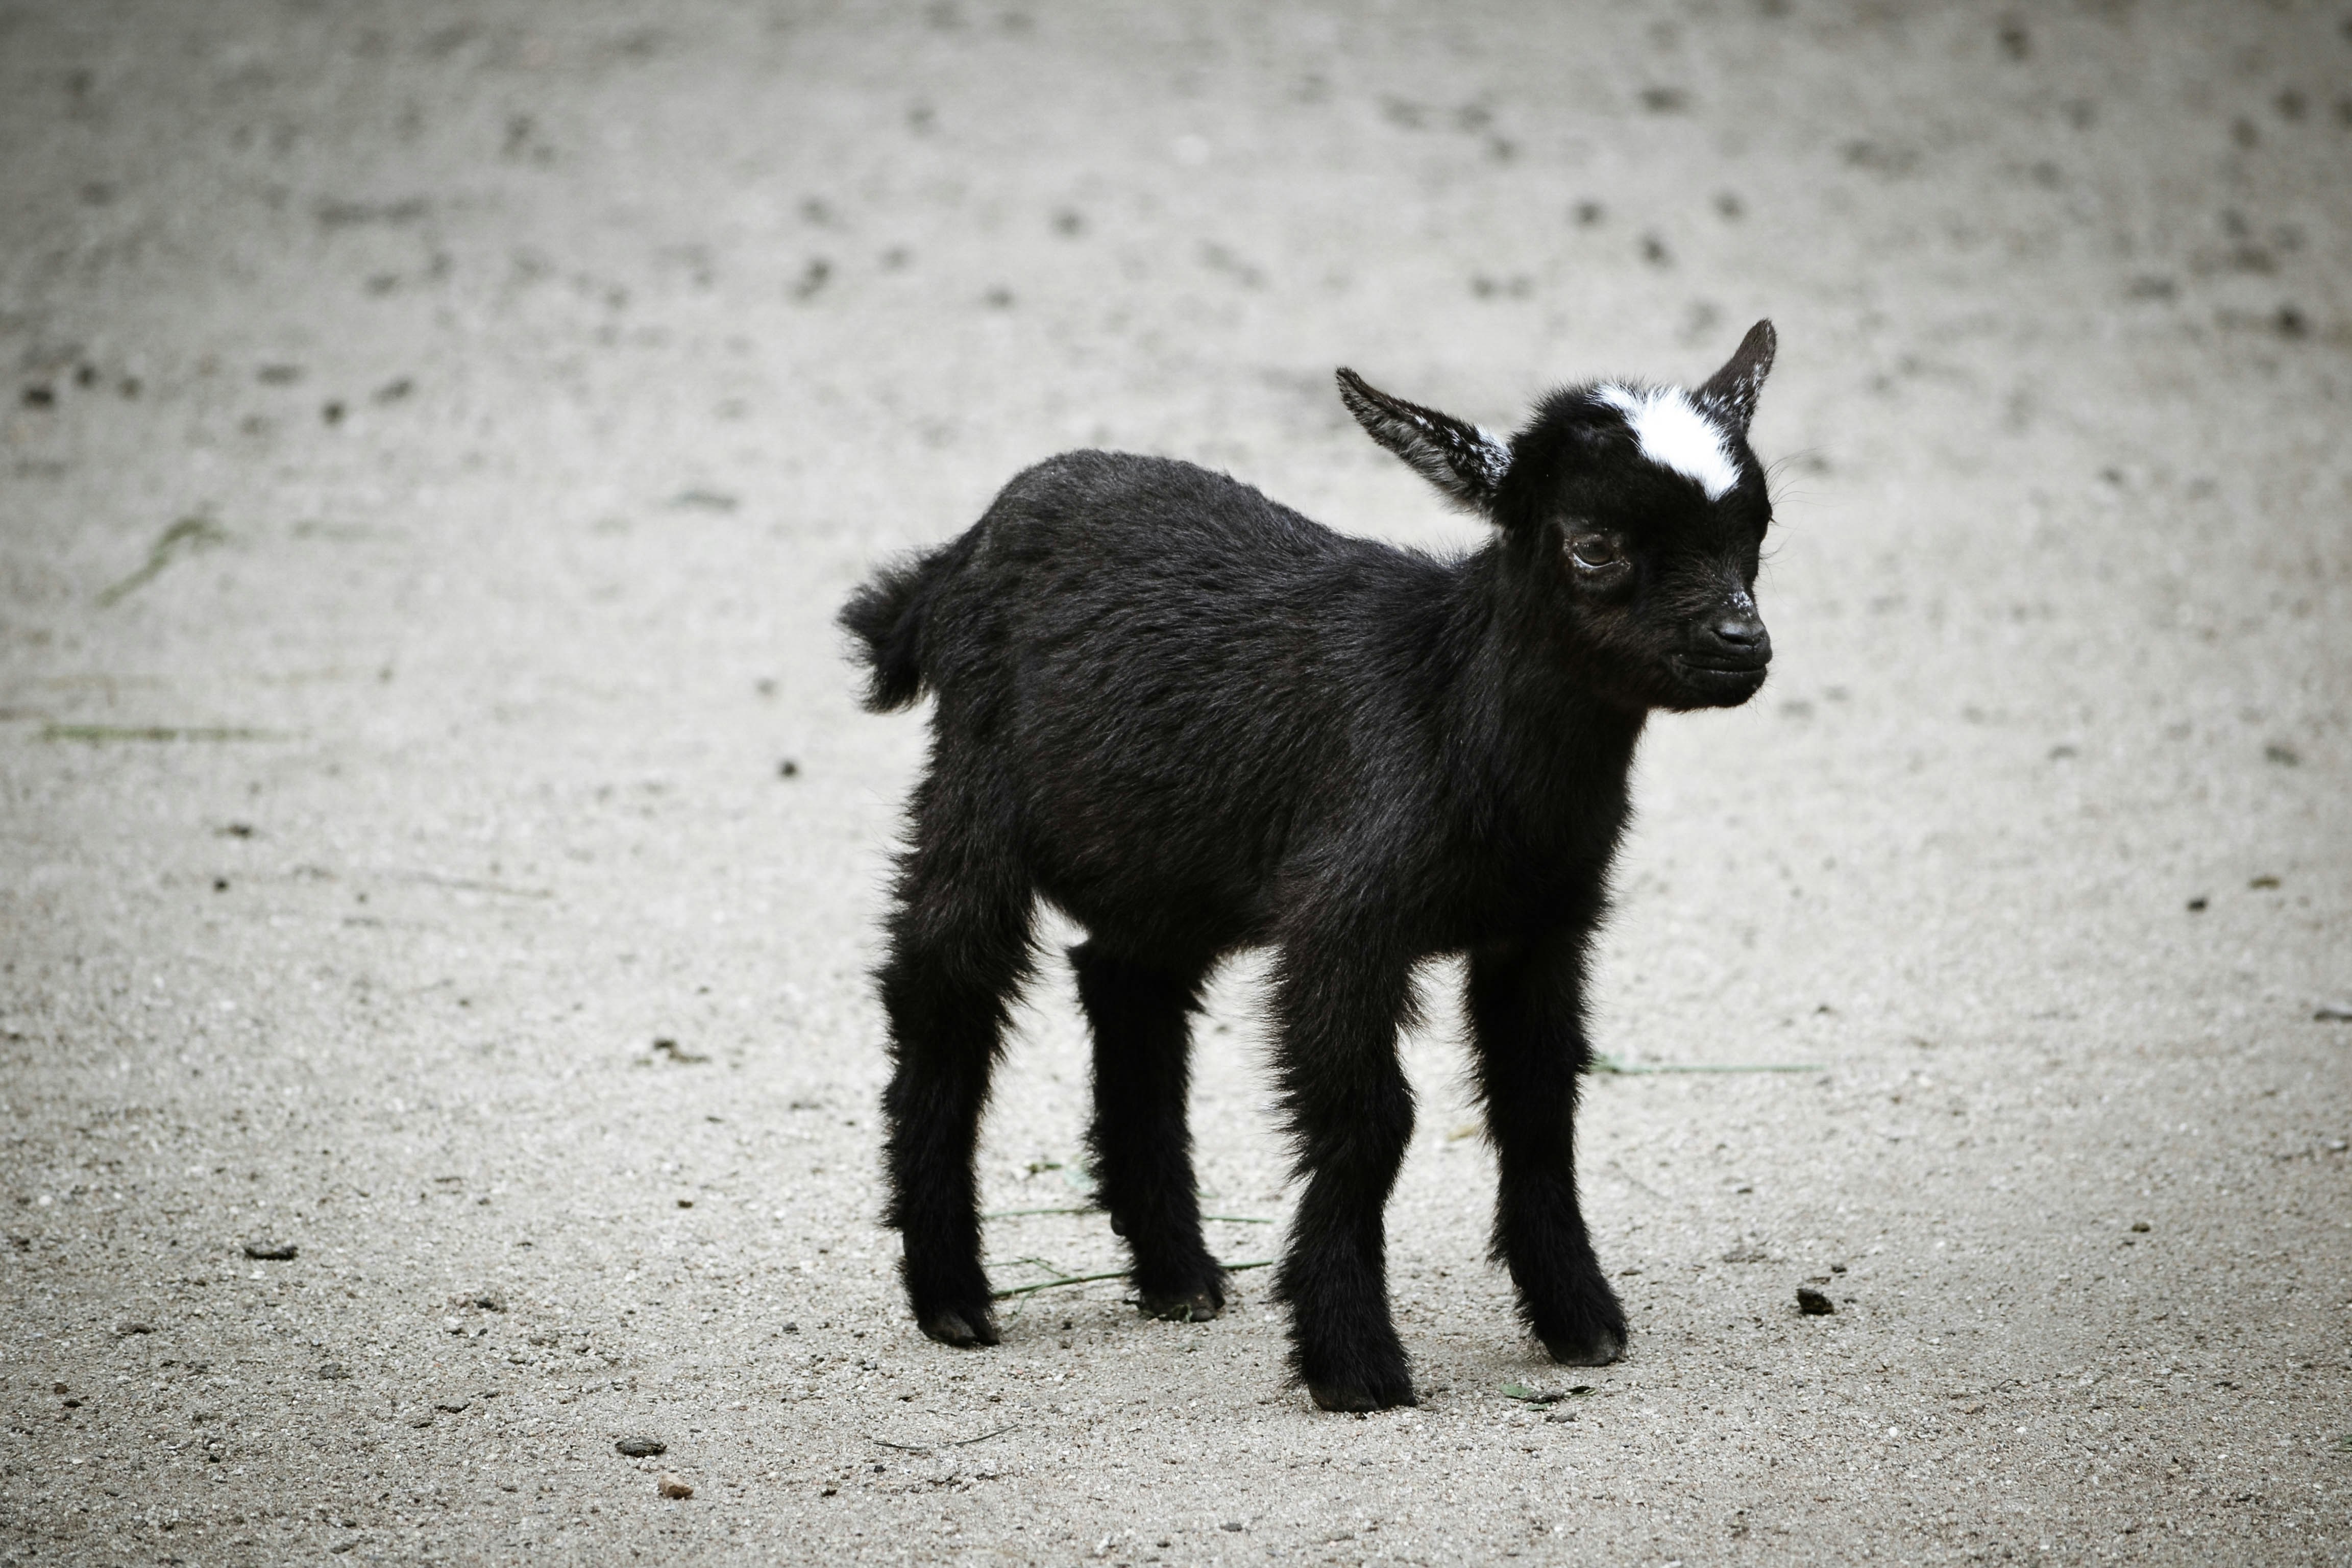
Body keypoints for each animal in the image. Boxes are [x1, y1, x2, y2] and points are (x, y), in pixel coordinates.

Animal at [840, 322, 1780, 1411]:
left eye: (1757, 533)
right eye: (1594, 545)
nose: (1740, 641)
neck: (1445, 703)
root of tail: (966, 544)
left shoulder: (1541, 925)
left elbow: (1540, 1102)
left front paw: (1577, 1317)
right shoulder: (1343, 918)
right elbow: (1370, 1120)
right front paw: (1351, 1360)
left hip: (1169, 848)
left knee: (1125, 983)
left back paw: (1177, 1274)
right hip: (975, 787)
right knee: (944, 989)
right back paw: (951, 1296)